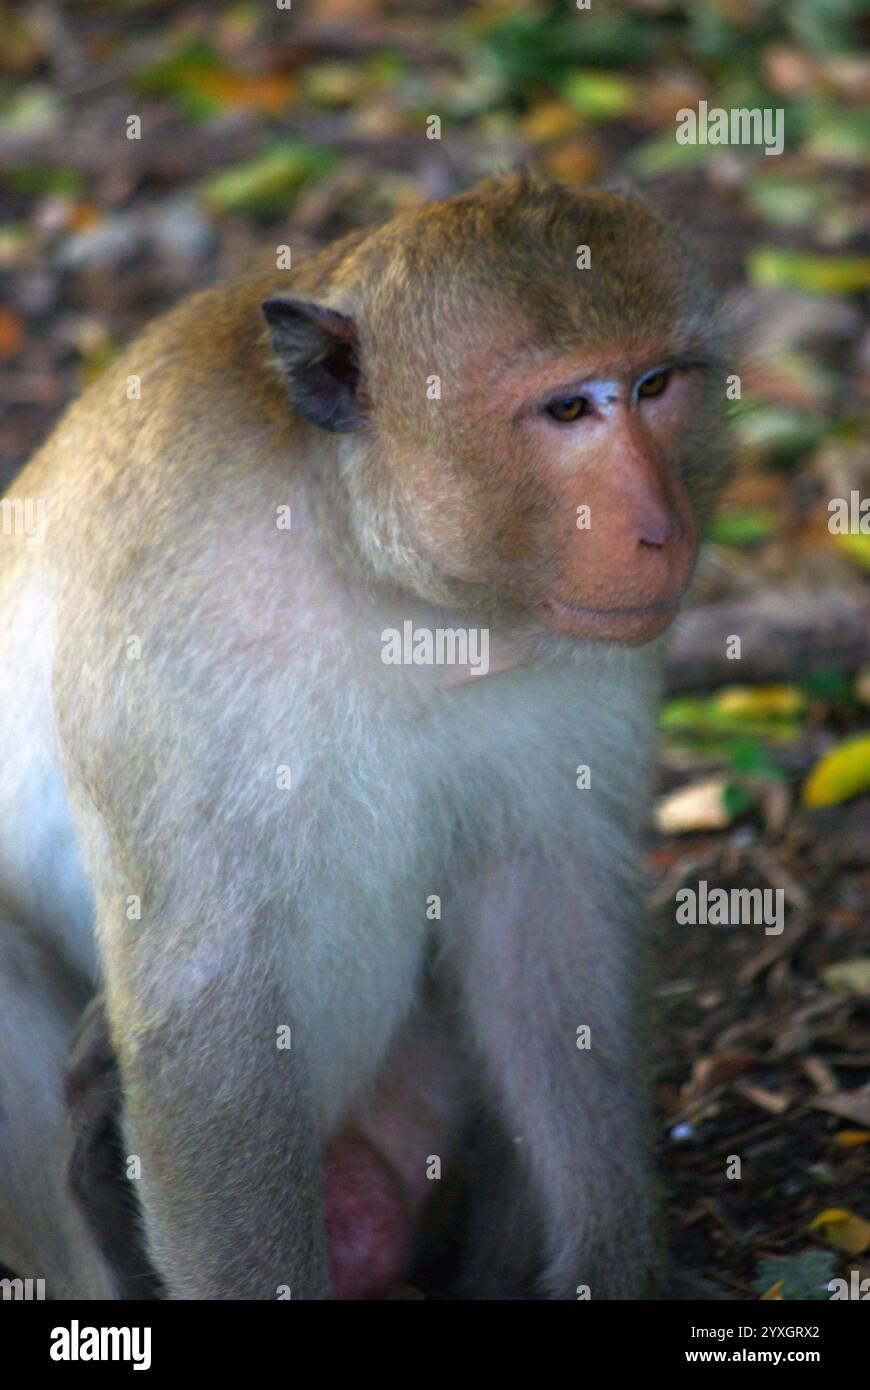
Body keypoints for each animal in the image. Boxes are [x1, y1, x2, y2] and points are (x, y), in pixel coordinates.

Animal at [0, 170, 733, 1299]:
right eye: (568, 408)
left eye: (656, 384)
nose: (663, 529)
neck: (393, 588)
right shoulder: (169, 627)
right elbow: (206, 996)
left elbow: (550, 914)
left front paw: (611, 1269)